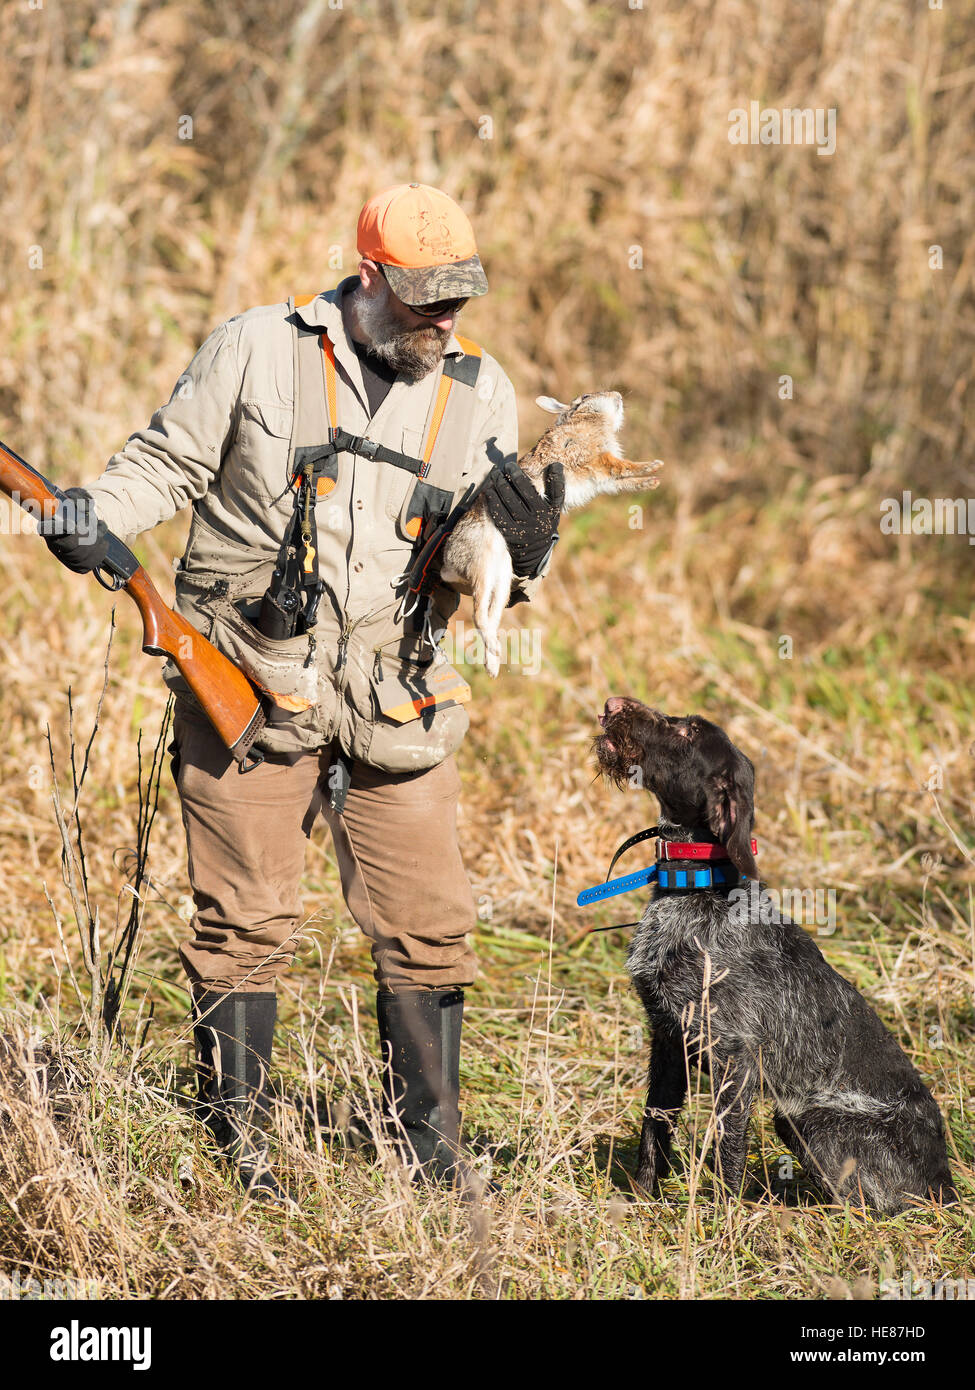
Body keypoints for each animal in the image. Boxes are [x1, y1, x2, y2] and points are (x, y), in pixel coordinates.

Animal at [440, 392, 663, 677]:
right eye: (587, 396)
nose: (618, 396)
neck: (581, 420)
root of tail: (448, 564)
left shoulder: (603, 478)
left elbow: (624, 481)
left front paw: (652, 480)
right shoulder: (593, 457)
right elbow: (621, 467)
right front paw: (653, 465)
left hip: (501, 578)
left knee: (491, 615)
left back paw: (494, 659)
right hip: (482, 562)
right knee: (477, 615)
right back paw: (492, 663)